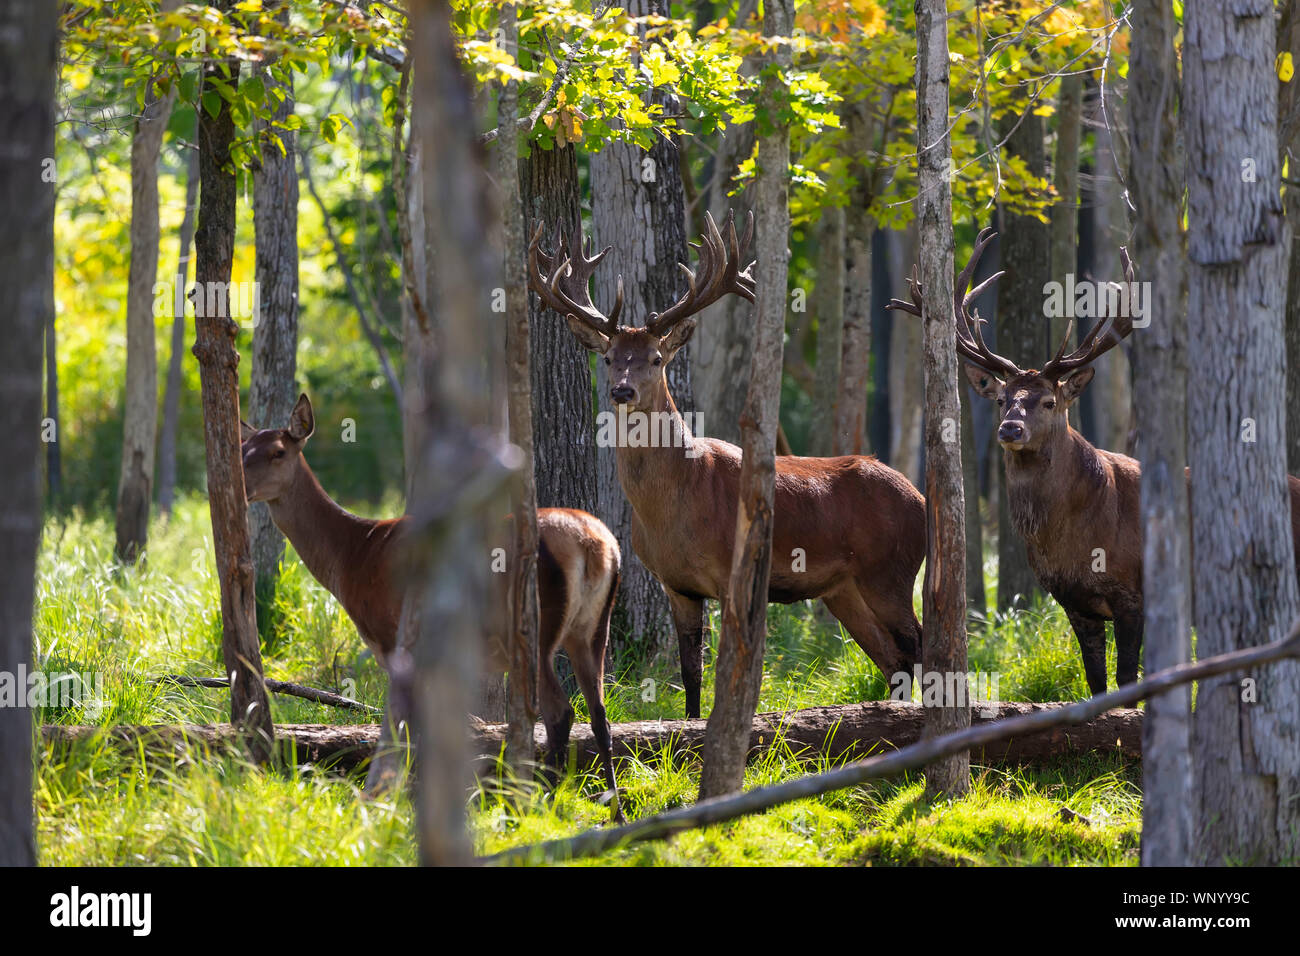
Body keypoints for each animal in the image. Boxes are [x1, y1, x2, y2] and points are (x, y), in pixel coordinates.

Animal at [240, 393, 624, 818]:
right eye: (243, 448)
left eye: (278, 452)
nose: (238, 482)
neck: (352, 557)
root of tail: (595, 546)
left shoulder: (391, 638)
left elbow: (408, 729)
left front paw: (404, 800)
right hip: (593, 628)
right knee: (600, 714)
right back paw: (614, 810)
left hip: (532, 627)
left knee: (560, 712)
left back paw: (541, 805)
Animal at [528, 210, 927, 718]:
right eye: (610, 356)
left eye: (655, 358)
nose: (621, 390)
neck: (673, 506)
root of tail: (921, 498)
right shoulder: (676, 585)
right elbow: (690, 675)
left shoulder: (728, 572)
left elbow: (724, 672)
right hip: (845, 588)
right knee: (894, 659)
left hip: (890, 569)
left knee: (919, 644)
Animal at [889, 229, 1300, 695]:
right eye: (1001, 399)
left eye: (1049, 401)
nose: (1010, 429)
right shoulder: (1074, 602)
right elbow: (1096, 681)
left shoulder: (1134, 593)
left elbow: (1127, 680)